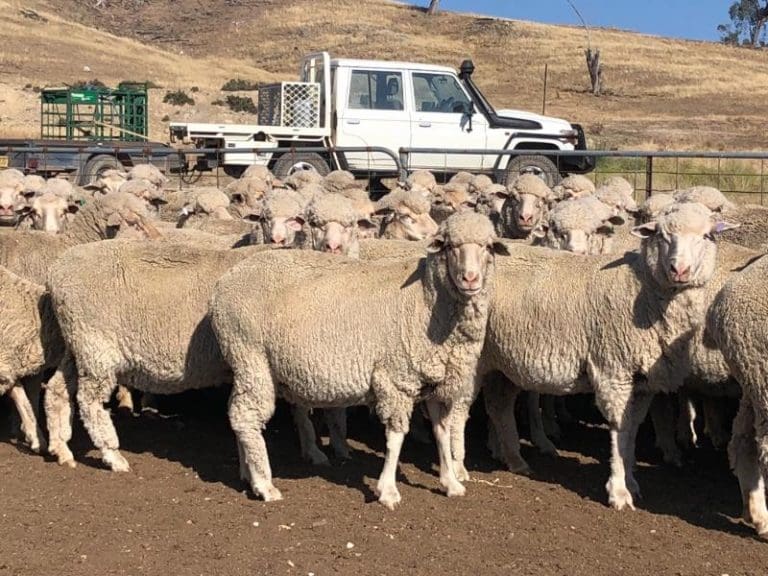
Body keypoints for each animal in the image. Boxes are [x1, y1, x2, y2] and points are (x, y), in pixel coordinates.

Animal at [209, 212, 506, 506]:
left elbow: (441, 432)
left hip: (245, 364)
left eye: (488, 247)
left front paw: (450, 483)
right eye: (448, 246)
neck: (427, 299)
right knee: (245, 415)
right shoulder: (396, 378)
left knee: (236, 411)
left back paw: (247, 472)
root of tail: (224, 283)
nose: (470, 279)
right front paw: (388, 490)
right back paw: (264, 484)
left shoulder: (434, 381)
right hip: (250, 355)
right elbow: (396, 438)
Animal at [449, 203, 738, 511]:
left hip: (500, 363)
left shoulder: (643, 384)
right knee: (459, 409)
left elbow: (632, 430)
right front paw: (619, 491)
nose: (679, 269)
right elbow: (619, 429)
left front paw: (631, 482)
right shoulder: (613, 370)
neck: (644, 292)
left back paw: (514, 459)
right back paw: (458, 469)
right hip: (469, 357)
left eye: (707, 236)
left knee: (498, 405)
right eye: (661, 235)